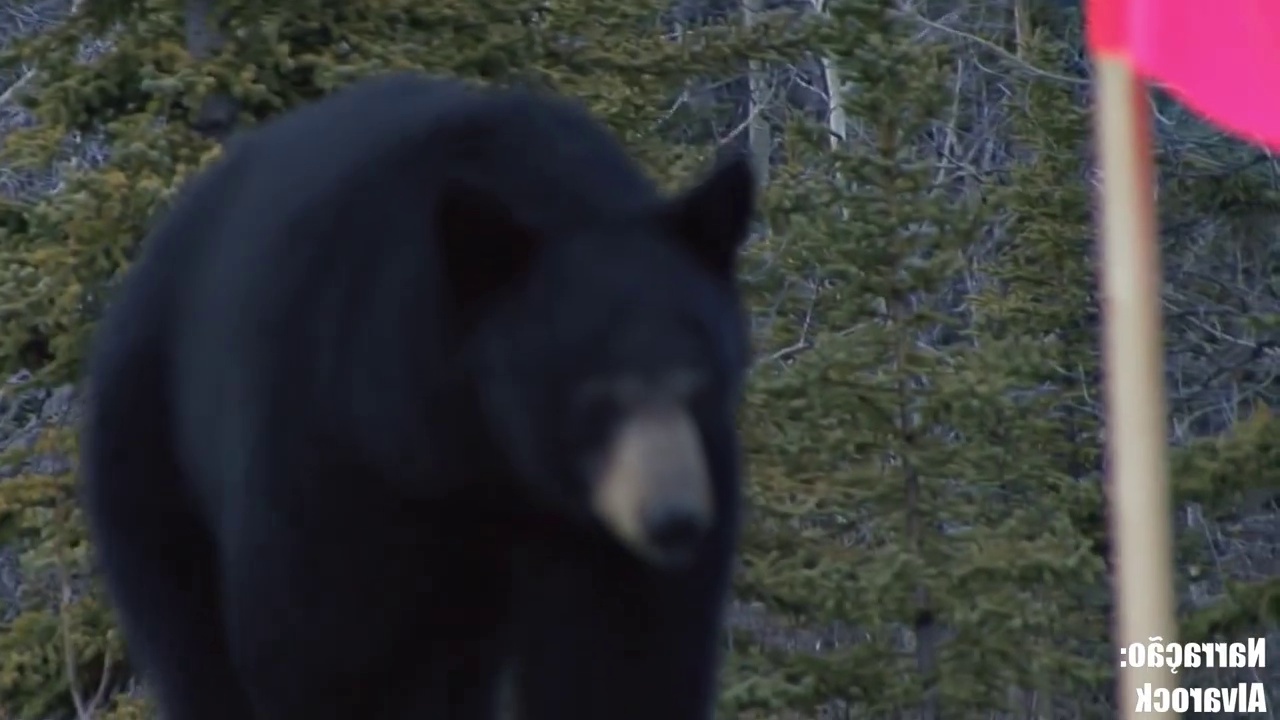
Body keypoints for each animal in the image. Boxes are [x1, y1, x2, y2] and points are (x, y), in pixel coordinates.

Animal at [80, 72, 755, 720]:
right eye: (593, 397)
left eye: (699, 382)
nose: (672, 519)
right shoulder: (336, 446)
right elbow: (327, 653)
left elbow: (624, 663)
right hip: (150, 455)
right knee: (195, 648)